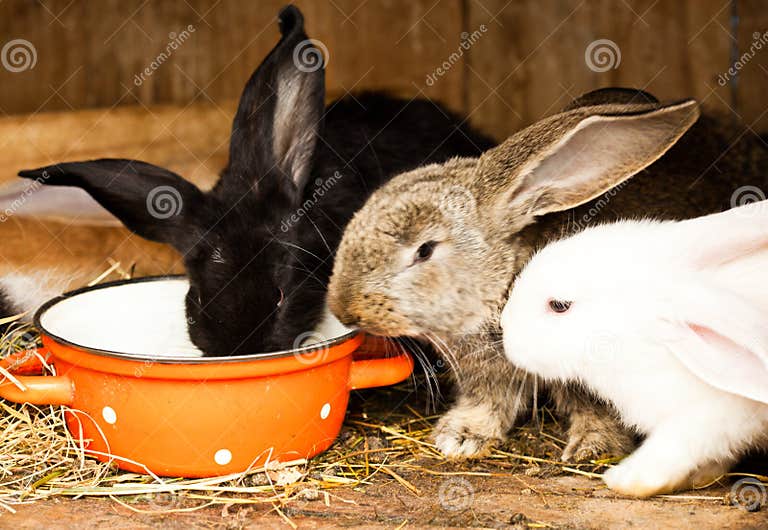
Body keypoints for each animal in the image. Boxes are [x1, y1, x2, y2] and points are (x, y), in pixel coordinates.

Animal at [327, 87, 768, 463]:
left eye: (425, 250)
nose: (344, 308)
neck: (504, 284)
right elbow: (487, 403)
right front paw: (461, 435)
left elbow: (599, 413)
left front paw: (592, 448)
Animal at [500, 201, 768, 496]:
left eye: (559, 305)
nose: (503, 322)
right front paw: (702, 477)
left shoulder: (722, 413)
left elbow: (678, 443)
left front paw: (626, 479)